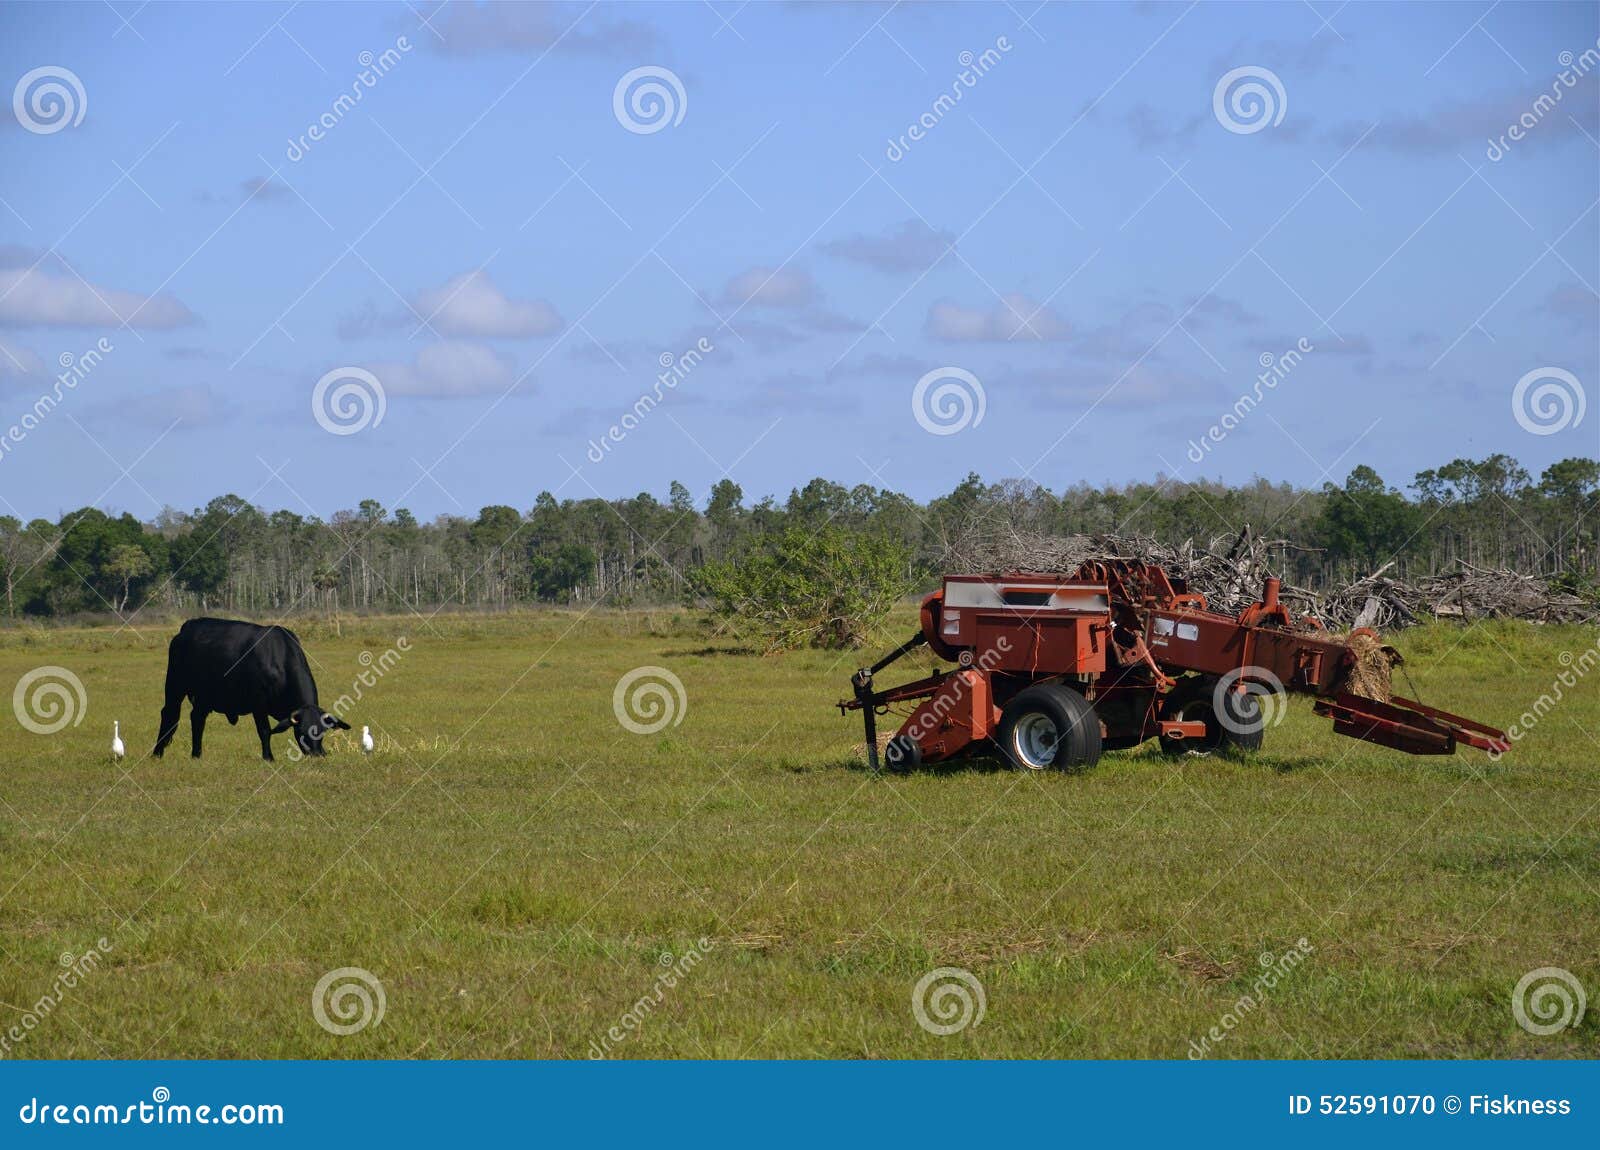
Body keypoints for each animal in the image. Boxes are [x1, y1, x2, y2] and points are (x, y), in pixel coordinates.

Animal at [153, 618, 351, 761]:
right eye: (301, 732)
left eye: (323, 732)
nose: (318, 754)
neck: (279, 661)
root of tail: (186, 628)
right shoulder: (259, 705)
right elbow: (264, 731)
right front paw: (268, 757)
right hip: (175, 686)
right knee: (169, 715)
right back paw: (157, 752)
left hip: (204, 696)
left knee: (197, 719)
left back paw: (196, 754)